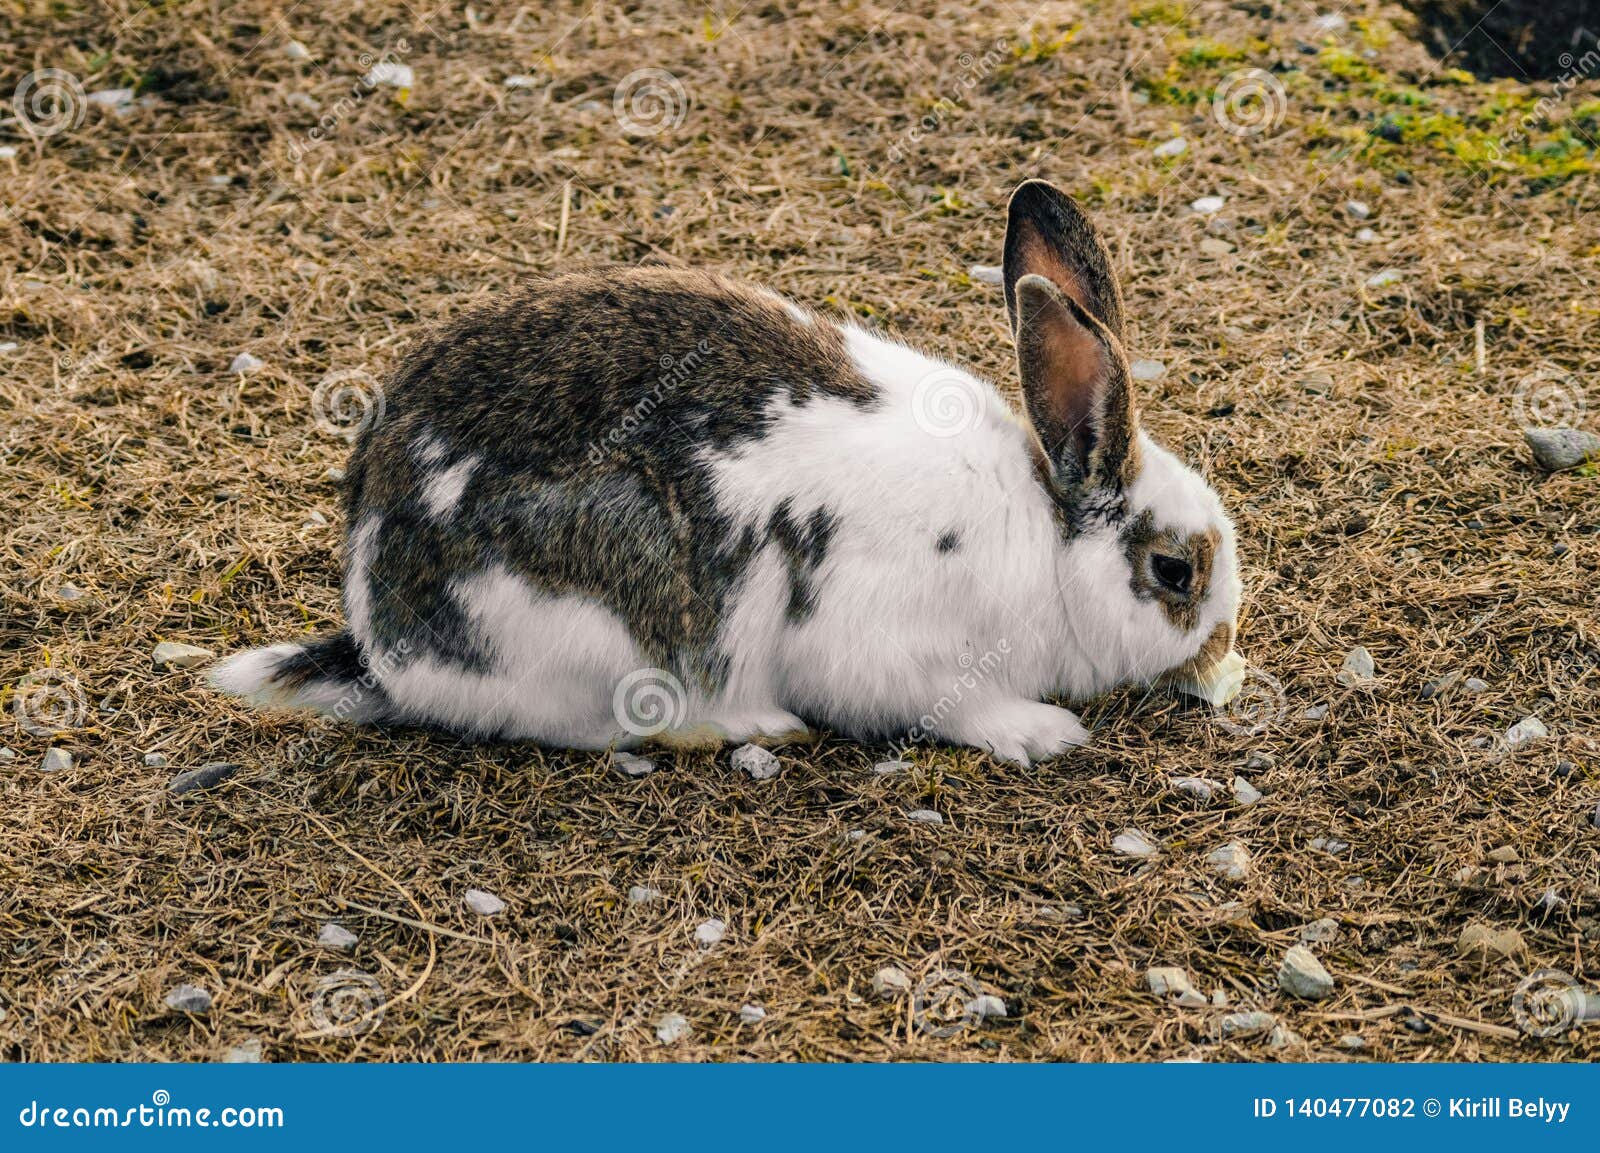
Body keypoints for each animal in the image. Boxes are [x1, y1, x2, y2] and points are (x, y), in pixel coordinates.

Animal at [210, 179, 1242, 766]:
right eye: (1175, 572)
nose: (1221, 646)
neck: (1042, 540)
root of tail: (377, 629)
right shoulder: (897, 649)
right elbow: (948, 706)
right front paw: (1041, 733)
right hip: (603, 631)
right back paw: (747, 726)